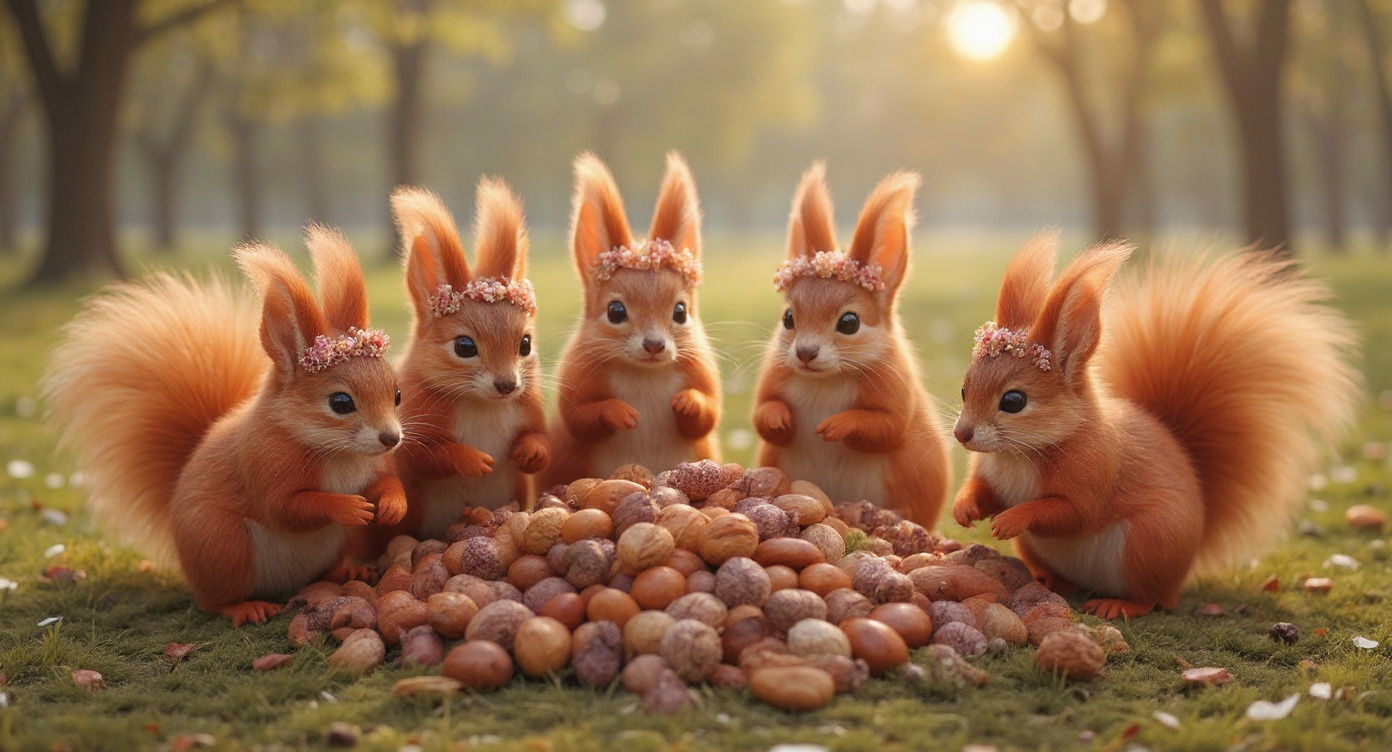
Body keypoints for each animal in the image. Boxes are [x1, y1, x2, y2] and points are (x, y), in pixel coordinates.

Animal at [43, 228, 407, 625]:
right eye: (340, 403)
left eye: (397, 394)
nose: (391, 438)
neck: (337, 451)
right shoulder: (265, 461)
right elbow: (287, 508)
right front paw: (348, 508)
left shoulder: (375, 464)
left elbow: (386, 481)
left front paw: (392, 504)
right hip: (221, 543)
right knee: (214, 600)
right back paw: (246, 607)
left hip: (333, 545)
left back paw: (347, 571)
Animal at [388, 179, 549, 538]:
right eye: (463, 346)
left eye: (526, 343)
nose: (507, 385)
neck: (482, 404)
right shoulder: (414, 417)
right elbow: (424, 456)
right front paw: (474, 460)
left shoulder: (529, 406)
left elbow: (541, 439)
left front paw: (529, 451)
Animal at [544, 152, 722, 486]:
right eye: (615, 312)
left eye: (681, 312)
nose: (654, 345)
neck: (644, 374)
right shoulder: (578, 377)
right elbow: (579, 418)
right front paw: (619, 412)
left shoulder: (701, 370)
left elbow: (708, 414)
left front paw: (688, 403)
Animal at [752, 163, 951, 526]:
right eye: (788, 318)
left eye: (849, 323)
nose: (804, 353)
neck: (825, 380)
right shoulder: (775, 374)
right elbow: (762, 414)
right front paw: (778, 417)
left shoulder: (894, 386)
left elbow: (886, 427)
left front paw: (836, 424)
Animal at [951, 235, 1359, 619]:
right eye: (964, 389)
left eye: (1014, 401)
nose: (961, 435)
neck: (1020, 453)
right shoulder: (991, 473)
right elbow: (985, 491)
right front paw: (963, 508)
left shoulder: (1094, 471)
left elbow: (1070, 512)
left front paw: (1011, 518)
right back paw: (1051, 580)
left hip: (1150, 542)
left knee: (1154, 598)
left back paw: (1118, 604)